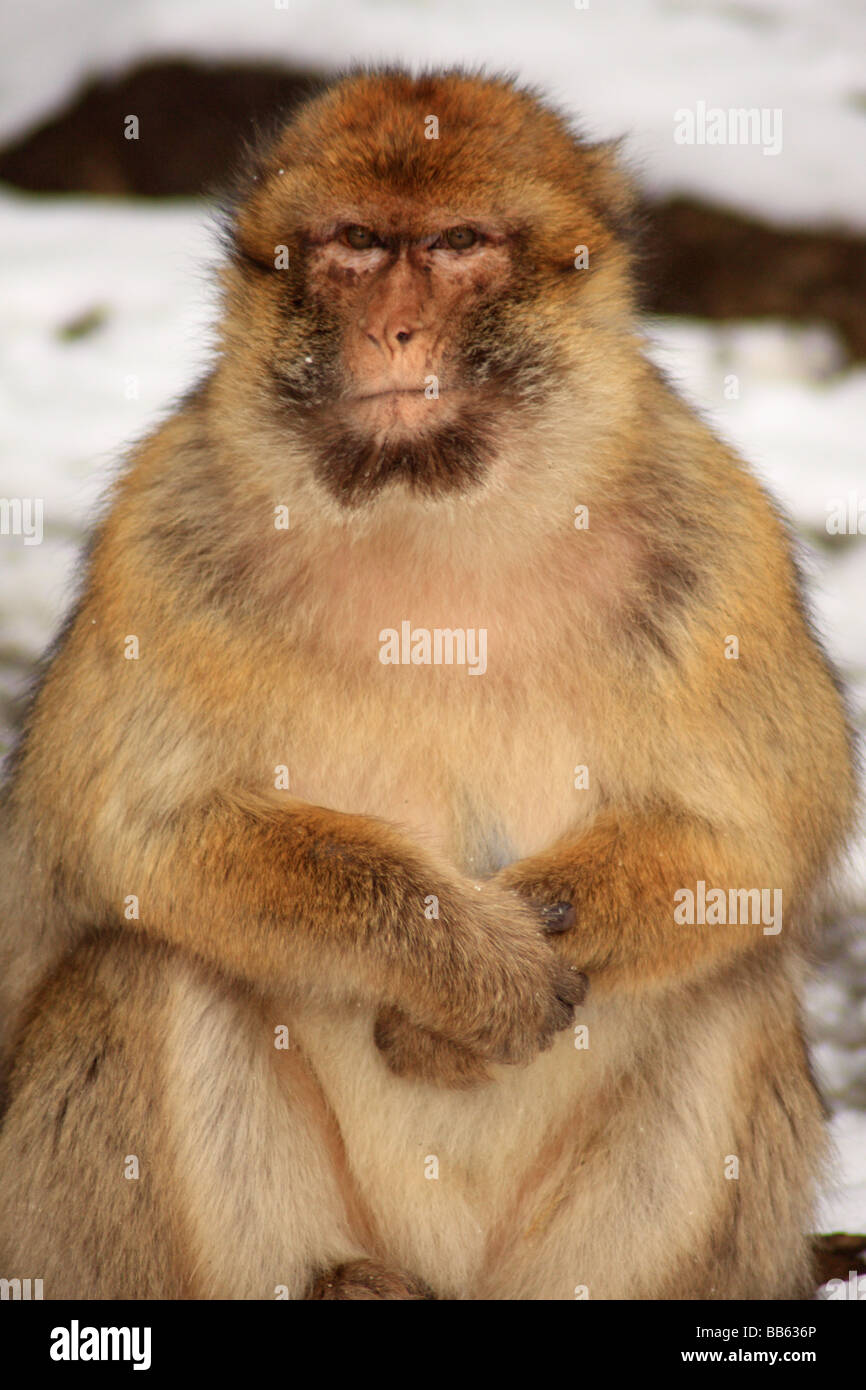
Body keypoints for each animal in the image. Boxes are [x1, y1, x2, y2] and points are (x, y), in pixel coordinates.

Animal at [0, 67, 856, 1301]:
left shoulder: (714, 530)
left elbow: (751, 839)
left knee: (725, 982)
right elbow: (138, 835)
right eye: (356, 242)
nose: (394, 329)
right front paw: (466, 964)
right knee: (147, 960)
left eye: (457, 245)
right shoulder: (160, 533)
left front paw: (501, 968)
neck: (433, 515)